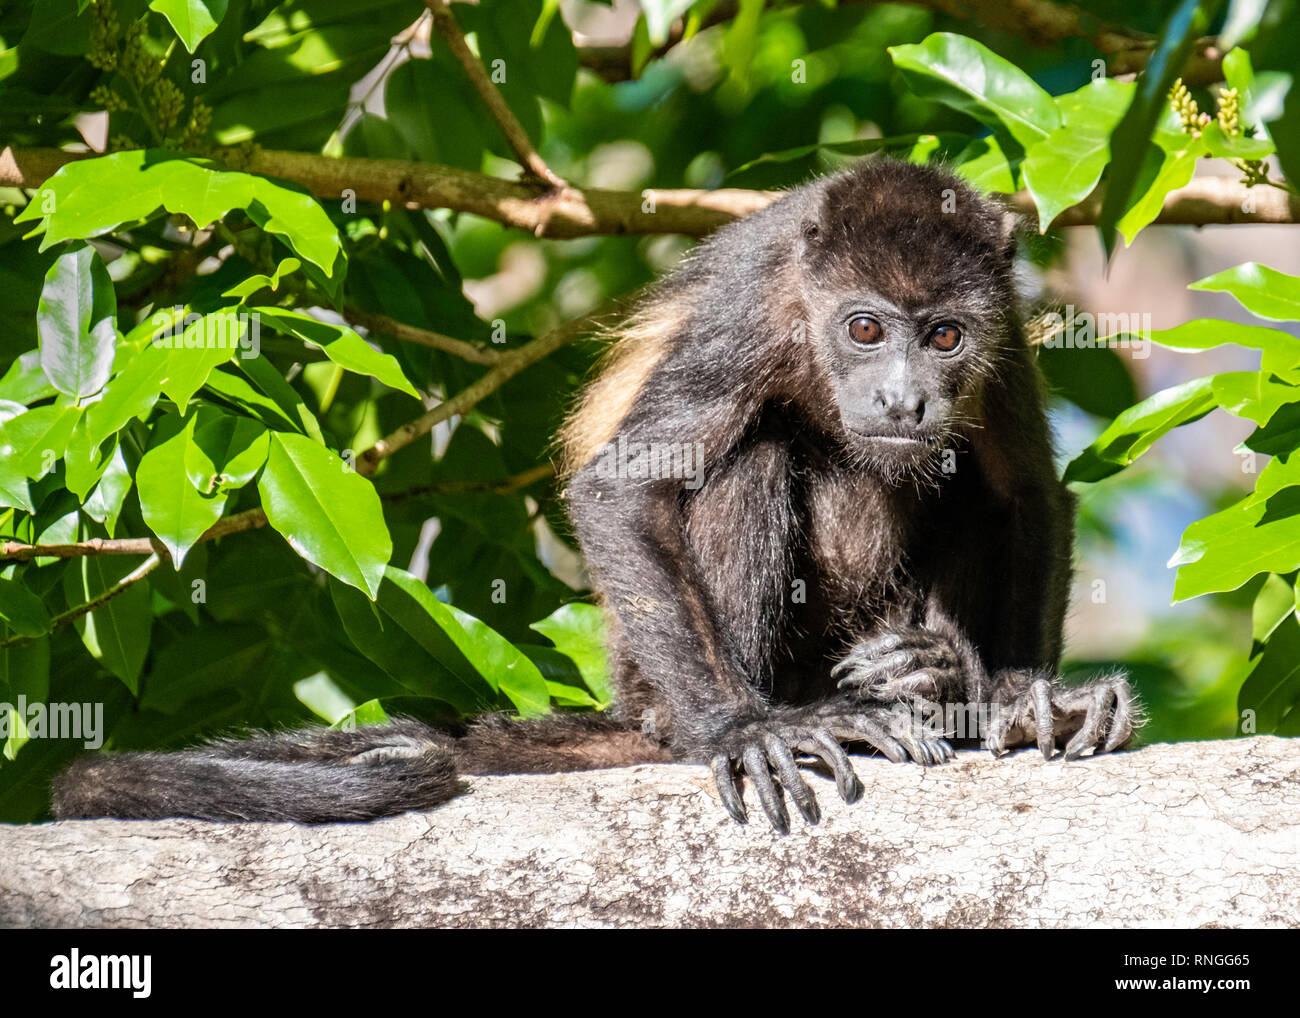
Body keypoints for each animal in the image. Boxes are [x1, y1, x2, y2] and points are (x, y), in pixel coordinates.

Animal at [51, 158, 1139, 833]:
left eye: (945, 336)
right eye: (865, 329)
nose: (904, 397)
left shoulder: (1005, 334)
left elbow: (1026, 494)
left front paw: (1020, 698)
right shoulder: (751, 309)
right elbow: (627, 486)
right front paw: (743, 732)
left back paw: (932, 675)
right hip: (658, 673)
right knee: (754, 455)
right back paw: (783, 711)